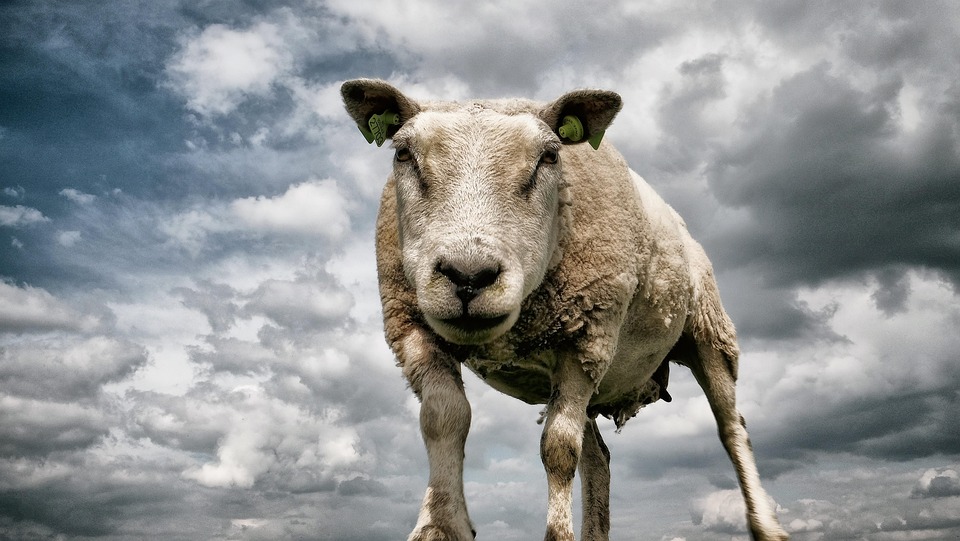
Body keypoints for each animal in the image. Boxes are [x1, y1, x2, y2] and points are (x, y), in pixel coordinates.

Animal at [341, 78, 789, 541]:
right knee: (599, 459)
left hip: (707, 331)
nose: (468, 276)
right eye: (403, 154)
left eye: (550, 156)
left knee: (732, 430)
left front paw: (557, 534)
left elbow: (557, 448)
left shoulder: (587, 335)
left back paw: (766, 525)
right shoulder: (412, 327)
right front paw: (441, 526)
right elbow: (443, 419)